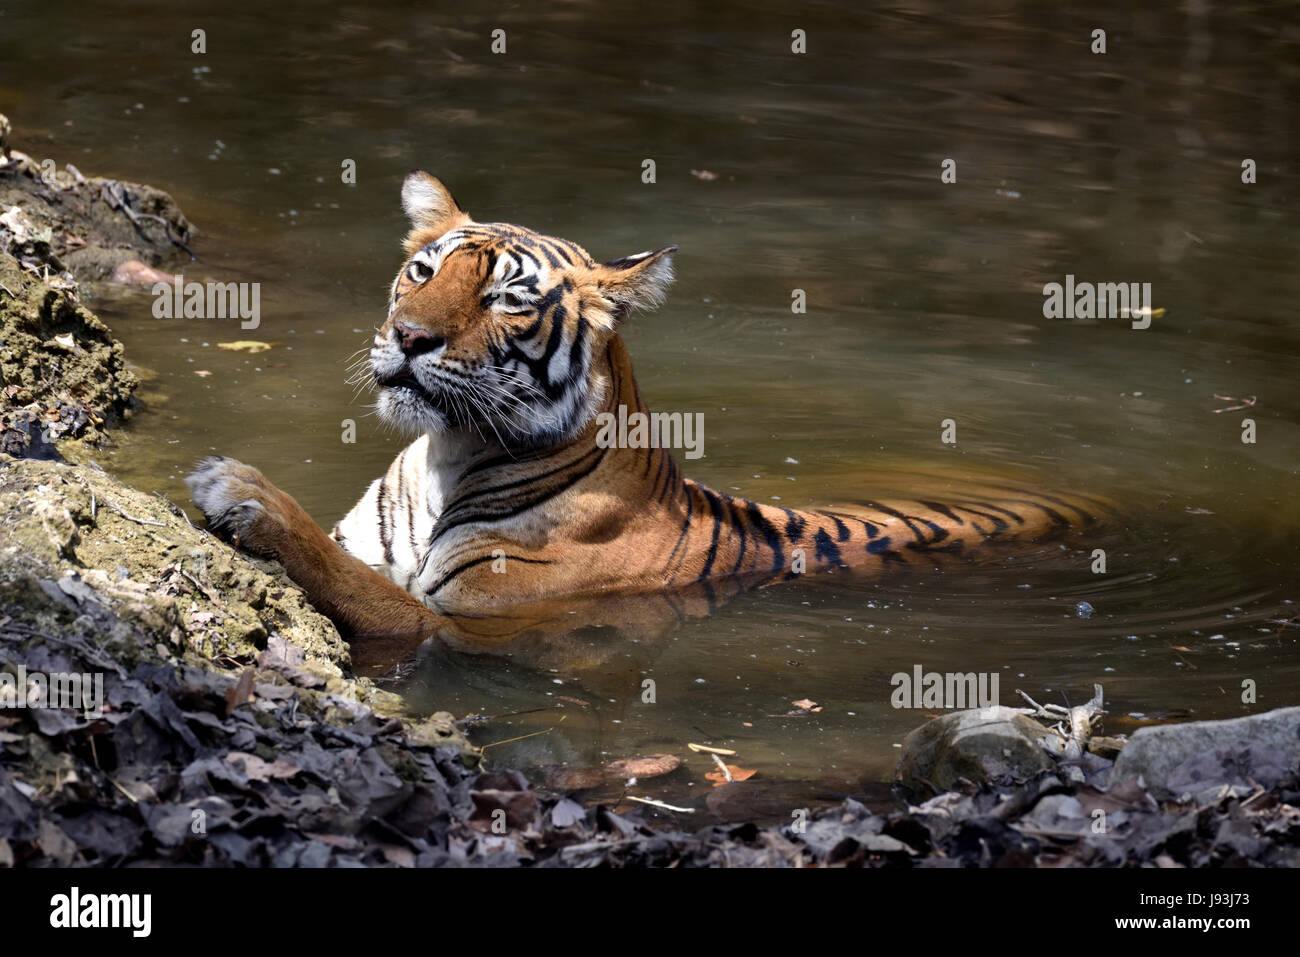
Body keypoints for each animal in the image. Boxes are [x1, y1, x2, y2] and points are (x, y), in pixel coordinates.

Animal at [186, 171, 1105, 648]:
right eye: (423, 270)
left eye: (504, 297)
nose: (409, 337)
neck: (445, 453)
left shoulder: (462, 618)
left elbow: (345, 576)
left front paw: (241, 488)